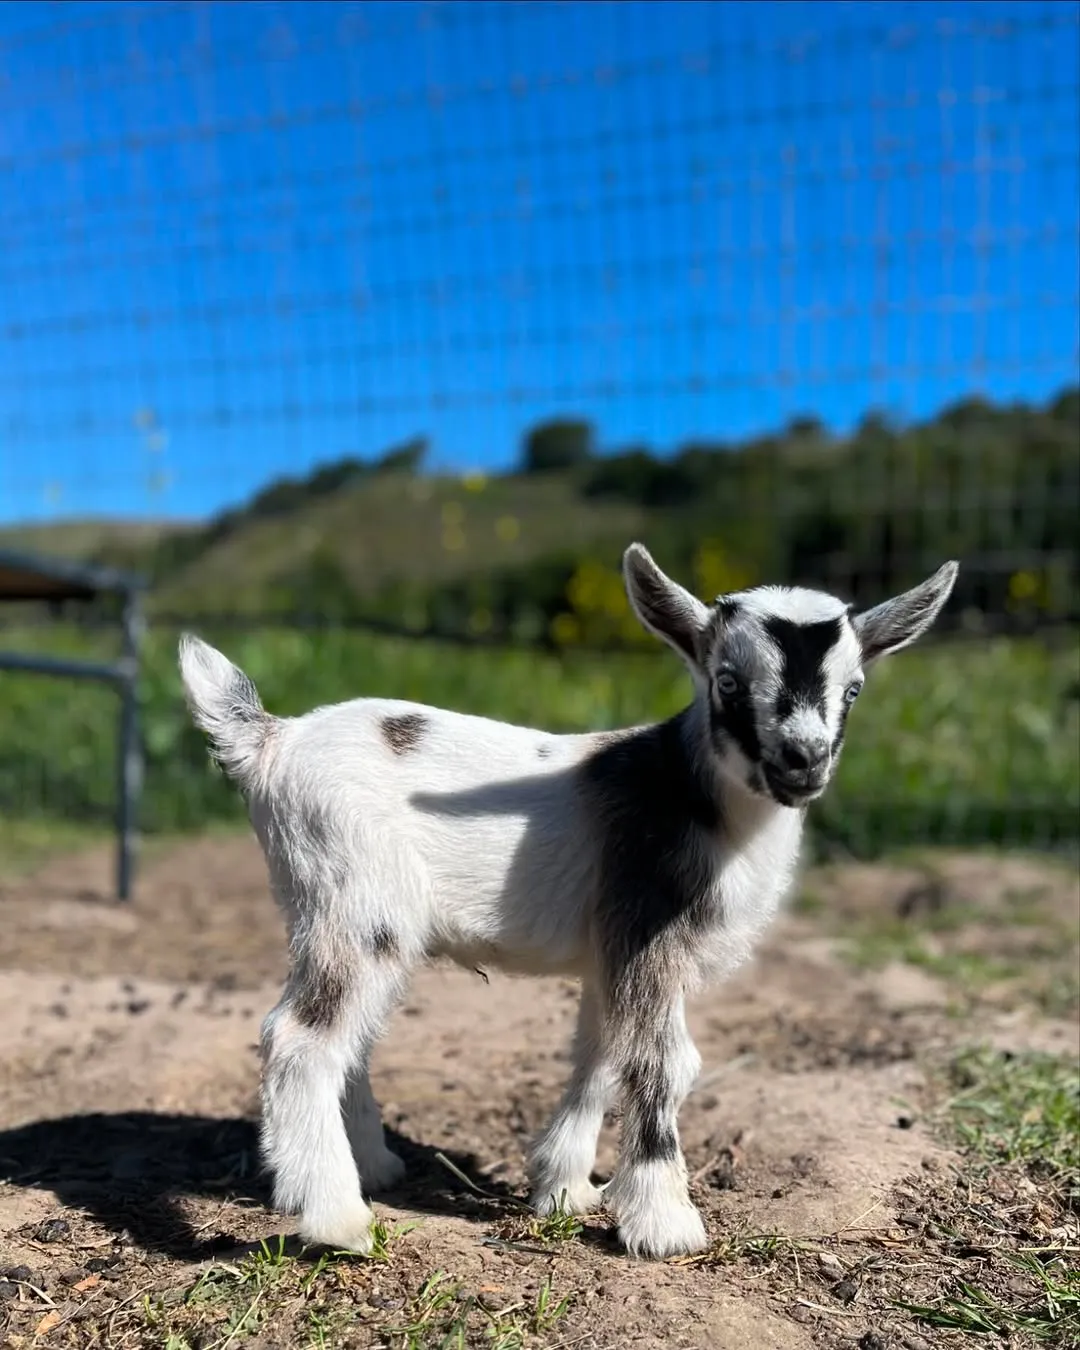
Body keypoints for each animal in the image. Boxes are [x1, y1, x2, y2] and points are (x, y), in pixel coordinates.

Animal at [178, 543, 958, 1260]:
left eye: (853, 690)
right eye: (728, 681)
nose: (803, 760)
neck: (694, 793)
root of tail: (272, 740)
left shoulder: (610, 950)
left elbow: (603, 1054)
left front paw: (563, 1188)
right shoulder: (646, 926)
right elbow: (663, 1061)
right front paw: (662, 1225)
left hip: (334, 909)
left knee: (352, 1035)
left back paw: (374, 1167)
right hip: (357, 898)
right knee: (300, 1037)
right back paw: (338, 1220)